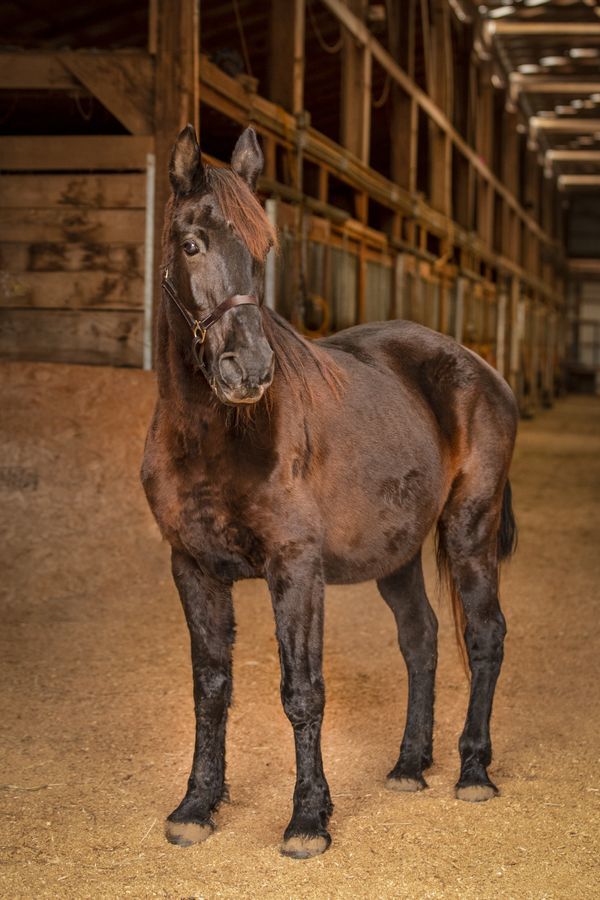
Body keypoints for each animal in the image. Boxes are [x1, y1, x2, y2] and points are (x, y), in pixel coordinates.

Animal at [141, 124, 518, 859]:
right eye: (192, 244)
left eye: (264, 250)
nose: (249, 370)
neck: (215, 435)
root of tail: (480, 368)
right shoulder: (192, 567)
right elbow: (211, 687)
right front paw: (197, 806)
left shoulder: (296, 569)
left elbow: (303, 692)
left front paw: (309, 820)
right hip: (397, 554)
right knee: (422, 638)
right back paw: (408, 764)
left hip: (470, 530)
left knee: (485, 636)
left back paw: (473, 770)